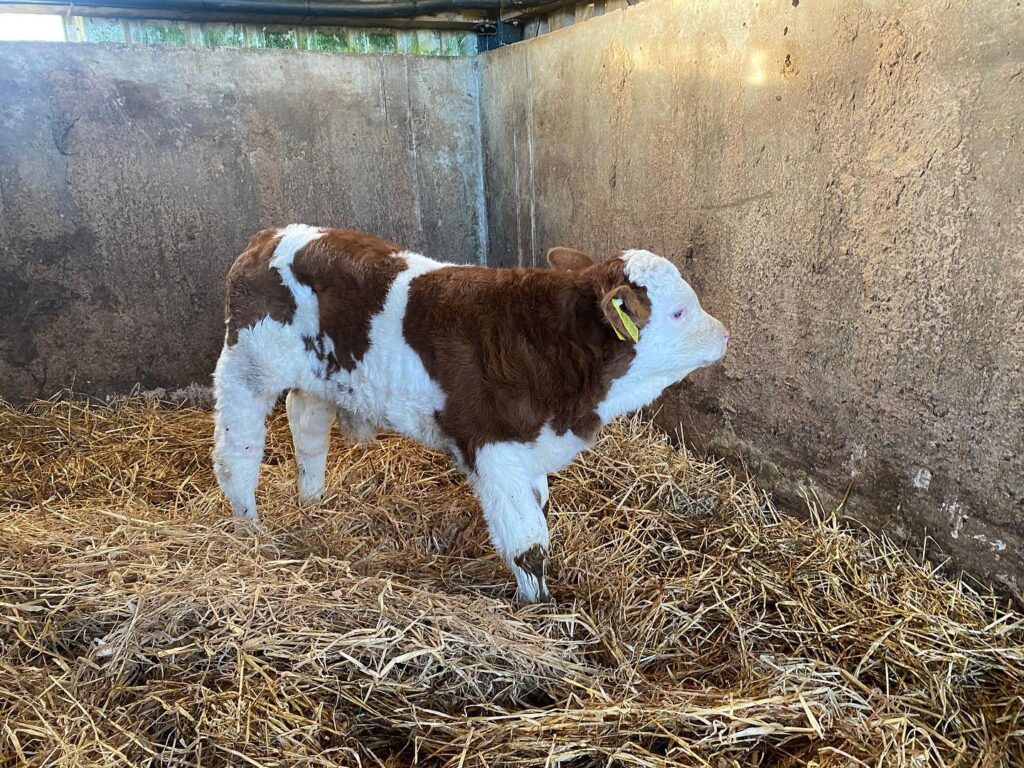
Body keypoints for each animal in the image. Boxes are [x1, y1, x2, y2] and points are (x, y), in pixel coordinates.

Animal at [212, 225, 729, 602]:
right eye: (679, 313)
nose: (725, 334)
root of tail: (268, 236)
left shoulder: (529, 450)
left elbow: (541, 513)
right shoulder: (494, 449)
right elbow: (527, 545)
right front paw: (539, 611)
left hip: (319, 373)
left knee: (306, 422)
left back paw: (313, 501)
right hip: (246, 367)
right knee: (237, 454)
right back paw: (250, 530)